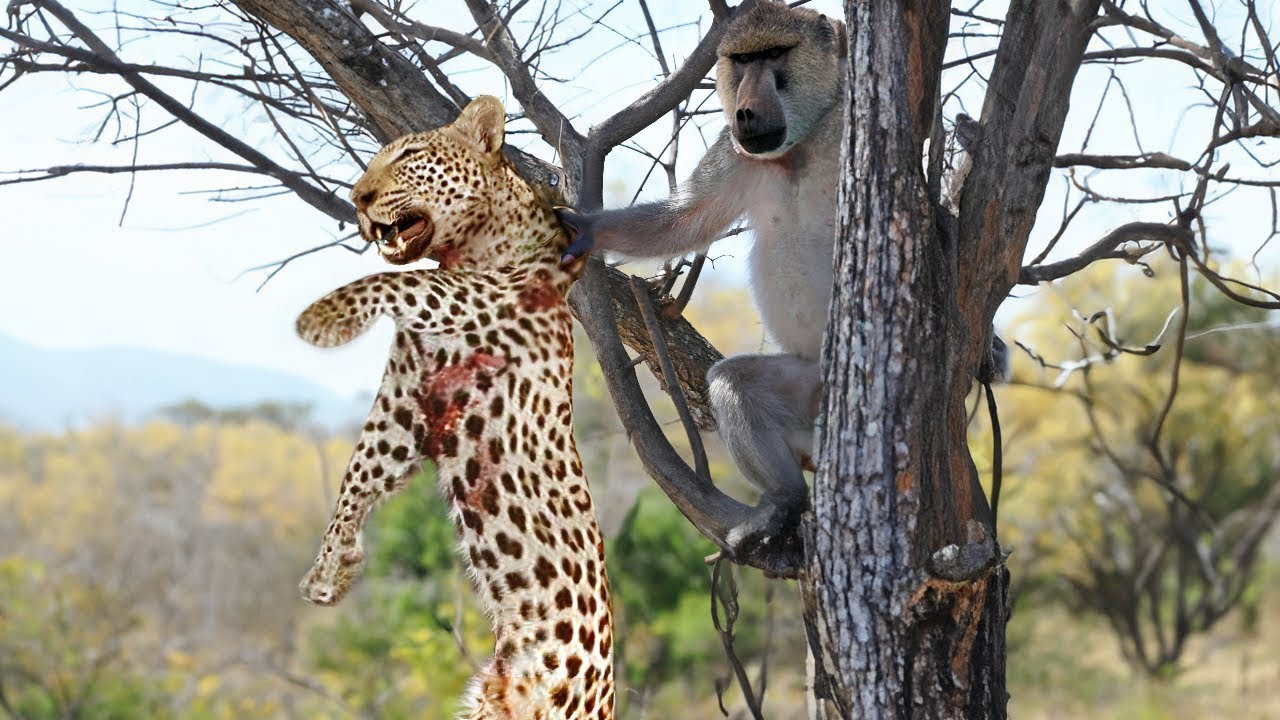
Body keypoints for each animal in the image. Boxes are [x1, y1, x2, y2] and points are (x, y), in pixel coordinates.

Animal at [296, 96, 613, 720]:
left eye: (410, 155)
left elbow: (402, 282)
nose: (358, 197)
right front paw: (330, 569)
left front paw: (323, 318)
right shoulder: (406, 396)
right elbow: (359, 471)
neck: (465, 245)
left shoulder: (480, 298)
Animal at [558, 1, 1004, 552]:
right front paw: (590, 230)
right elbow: (682, 223)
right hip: (807, 390)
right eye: (743, 61)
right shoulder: (734, 153)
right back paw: (785, 502)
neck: (802, 146)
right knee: (735, 383)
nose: (746, 109)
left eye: (774, 55)